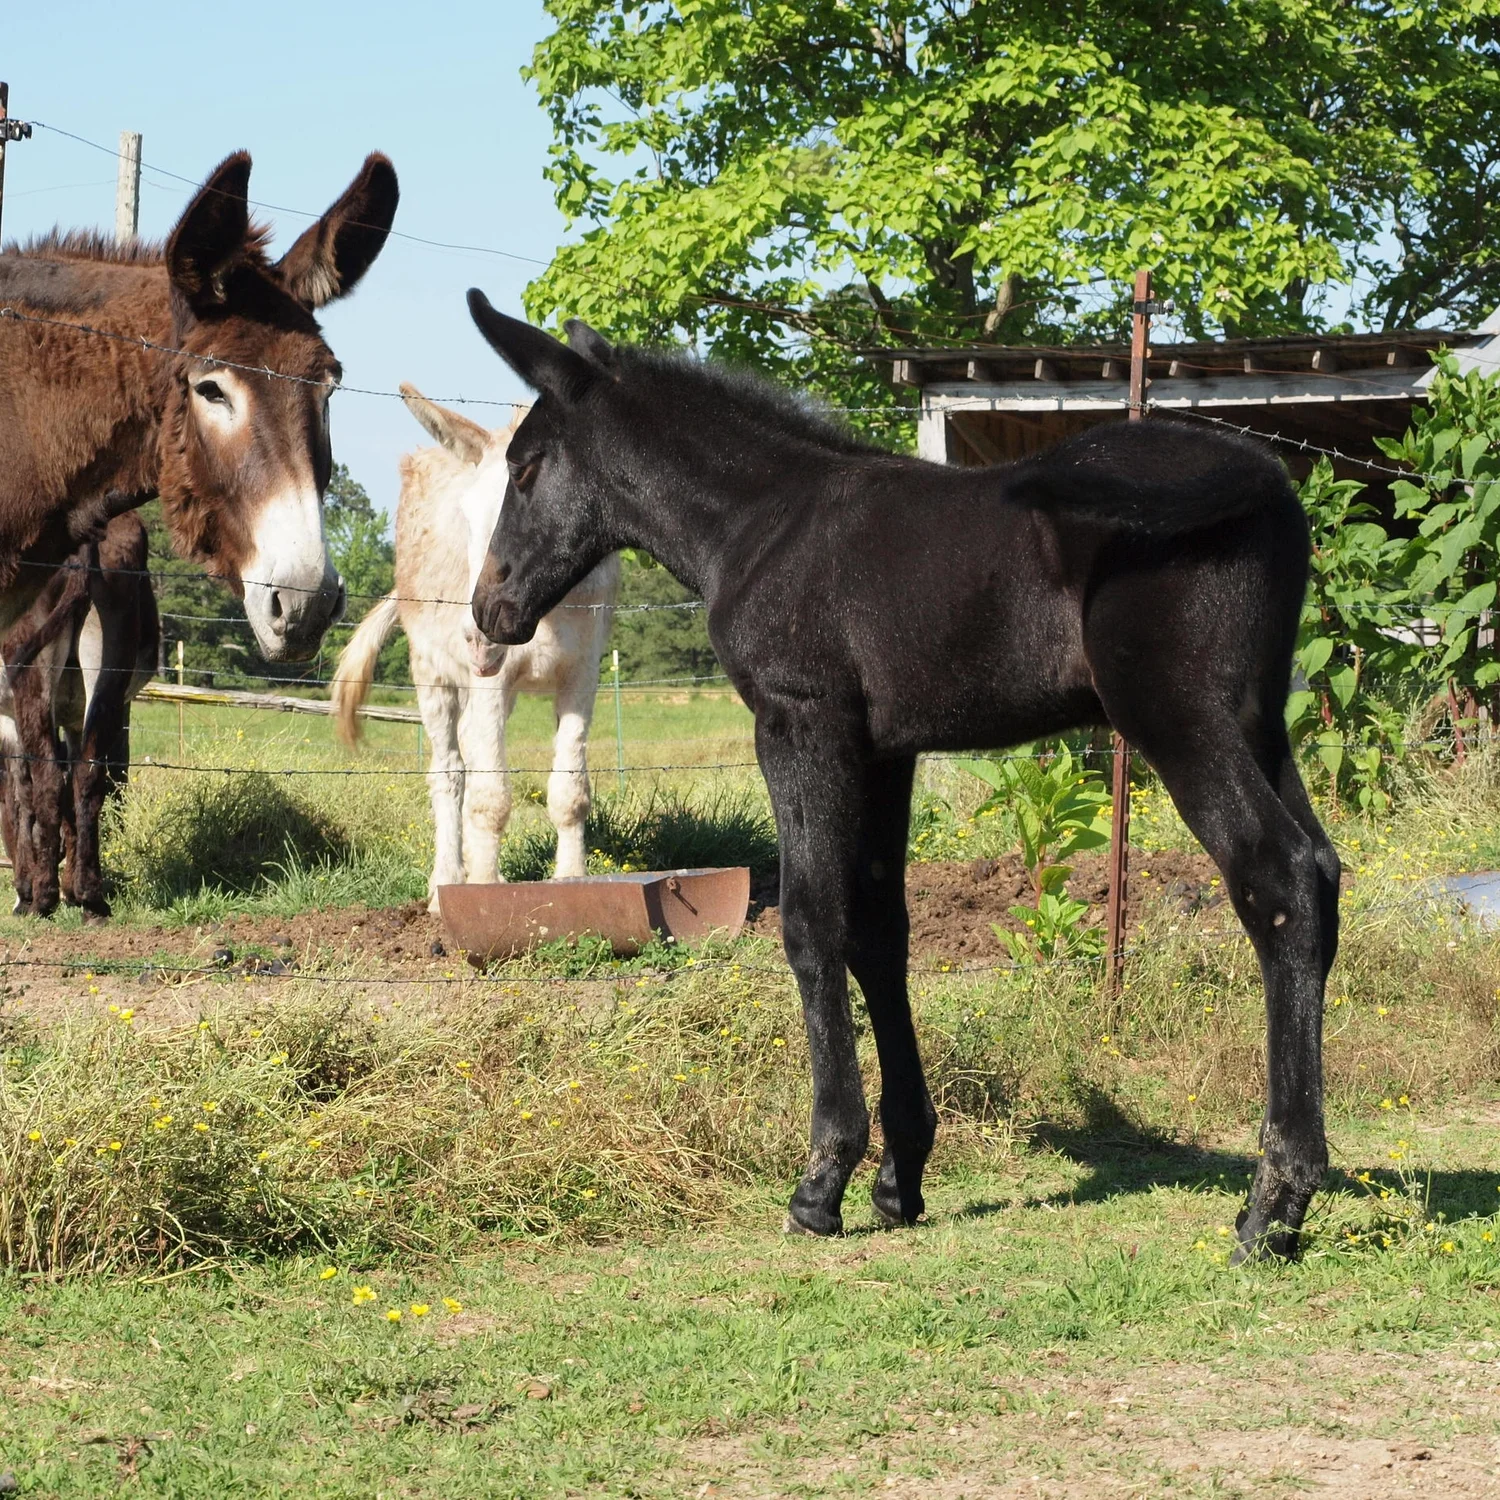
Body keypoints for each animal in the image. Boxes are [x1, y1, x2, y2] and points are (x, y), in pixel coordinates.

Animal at [1, 512, 158, 916]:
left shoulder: (7, 719)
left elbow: (22, 794)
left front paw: (26, 890)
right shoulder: (72, 719)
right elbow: (73, 786)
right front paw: (69, 885)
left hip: (33, 676)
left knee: (47, 781)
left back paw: (43, 898)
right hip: (110, 670)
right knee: (90, 777)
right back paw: (89, 896)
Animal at [331, 386, 618, 910]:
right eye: (466, 520)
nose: (479, 634)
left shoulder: (582, 674)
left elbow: (570, 792)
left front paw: (571, 883)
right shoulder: (490, 679)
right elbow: (491, 798)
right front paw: (484, 894)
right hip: (433, 674)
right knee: (450, 772)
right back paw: (446, 882)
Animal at [462, 295, 1341, 1267]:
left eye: (525, 468)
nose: (489, 609)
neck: (759, 522)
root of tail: (1266, 482)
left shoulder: (800, 726)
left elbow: (812, 924)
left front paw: (822, 1180)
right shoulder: (885, 751)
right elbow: (880, 931)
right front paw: (900, 1173)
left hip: (1179, 718)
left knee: (1278, 878)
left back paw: (1274, 1205)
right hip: (1257, 721)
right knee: (1323, 871)